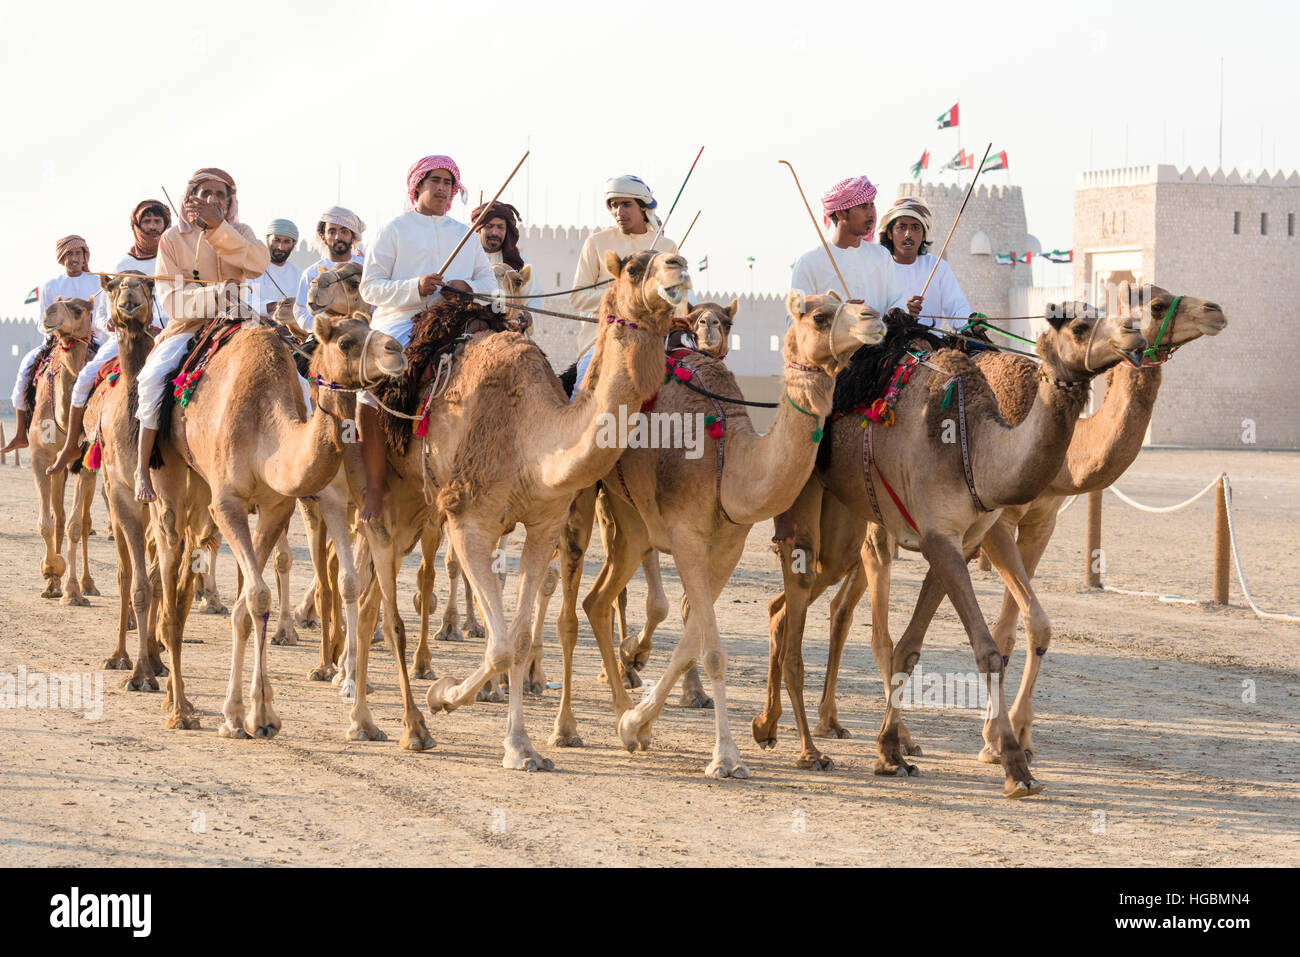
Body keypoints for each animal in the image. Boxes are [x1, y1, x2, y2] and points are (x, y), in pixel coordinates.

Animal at [145, 309, 406, 734]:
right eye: (346, 342)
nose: (396, 349)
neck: (264, 430)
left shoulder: (276, 506)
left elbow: (252, 601)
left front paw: (260, 713)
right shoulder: (228, 504)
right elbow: (257, 594)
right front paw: (237, 715)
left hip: (201, 486)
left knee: (187, 566)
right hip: (165, 465)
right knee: (167, 548)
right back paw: (177, 703)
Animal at [346, 249, 689, 769]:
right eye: (633, 267)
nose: (678, 265)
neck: (532, 436)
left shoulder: (545, 524)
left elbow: (520, 638)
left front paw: (522, 746)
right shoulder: (469, 521)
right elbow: (501, 643)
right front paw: (444, 694)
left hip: (414, 506)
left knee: (370, 603)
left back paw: (372, 721)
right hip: (382, 500)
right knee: (379, 602)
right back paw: (395, 722)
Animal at [755, 304, 1146, 797]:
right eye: (1078, 326)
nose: (1135, 334)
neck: (973, 448)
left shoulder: (958, 541)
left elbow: (910, 647)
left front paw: (890, 752)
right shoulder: (940, 539)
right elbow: (987, 651)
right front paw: (1014, 766)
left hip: (845, 527)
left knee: (785, 606)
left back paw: (766, 727)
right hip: (803, 491)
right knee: (799, 582)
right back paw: (807, 750)